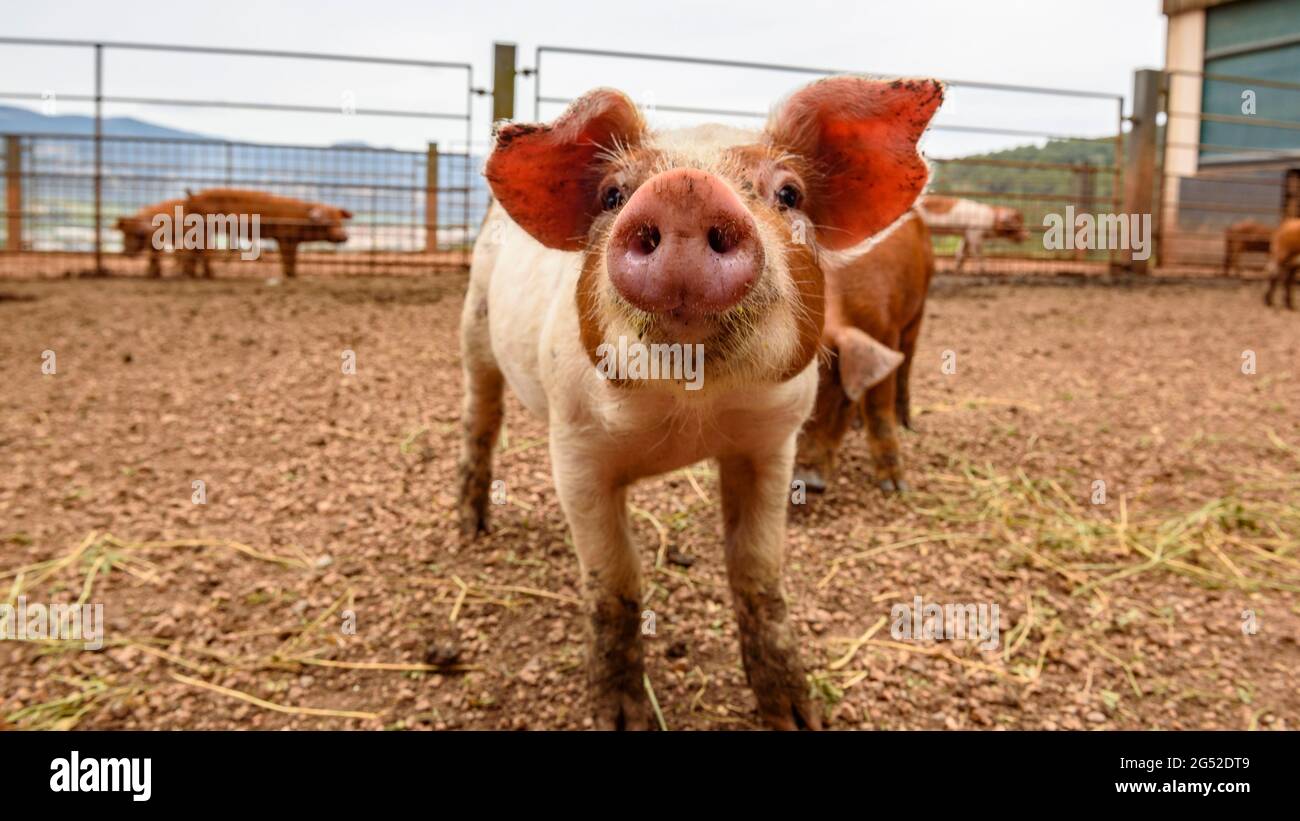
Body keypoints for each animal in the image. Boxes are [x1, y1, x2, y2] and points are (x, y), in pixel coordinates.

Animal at [182, 188, 352, 278]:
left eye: (340, 220)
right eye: (329, 222)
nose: (344, 236)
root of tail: (192, 197)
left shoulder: (294, 240)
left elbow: (293, 258)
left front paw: (294, 275)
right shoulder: (284, 237)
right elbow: (287, 258)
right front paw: (289, 275)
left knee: (194, 252)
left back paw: (195, 275)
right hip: (205, 229)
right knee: (203, 252)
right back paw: (211, 276)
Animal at [794, 211, 934, 496]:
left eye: (843, 403)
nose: (807, 482)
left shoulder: (886, 331)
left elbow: (879, 406)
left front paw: (895, 487)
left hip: (918, 312)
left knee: (906, 366)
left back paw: (906, 423)